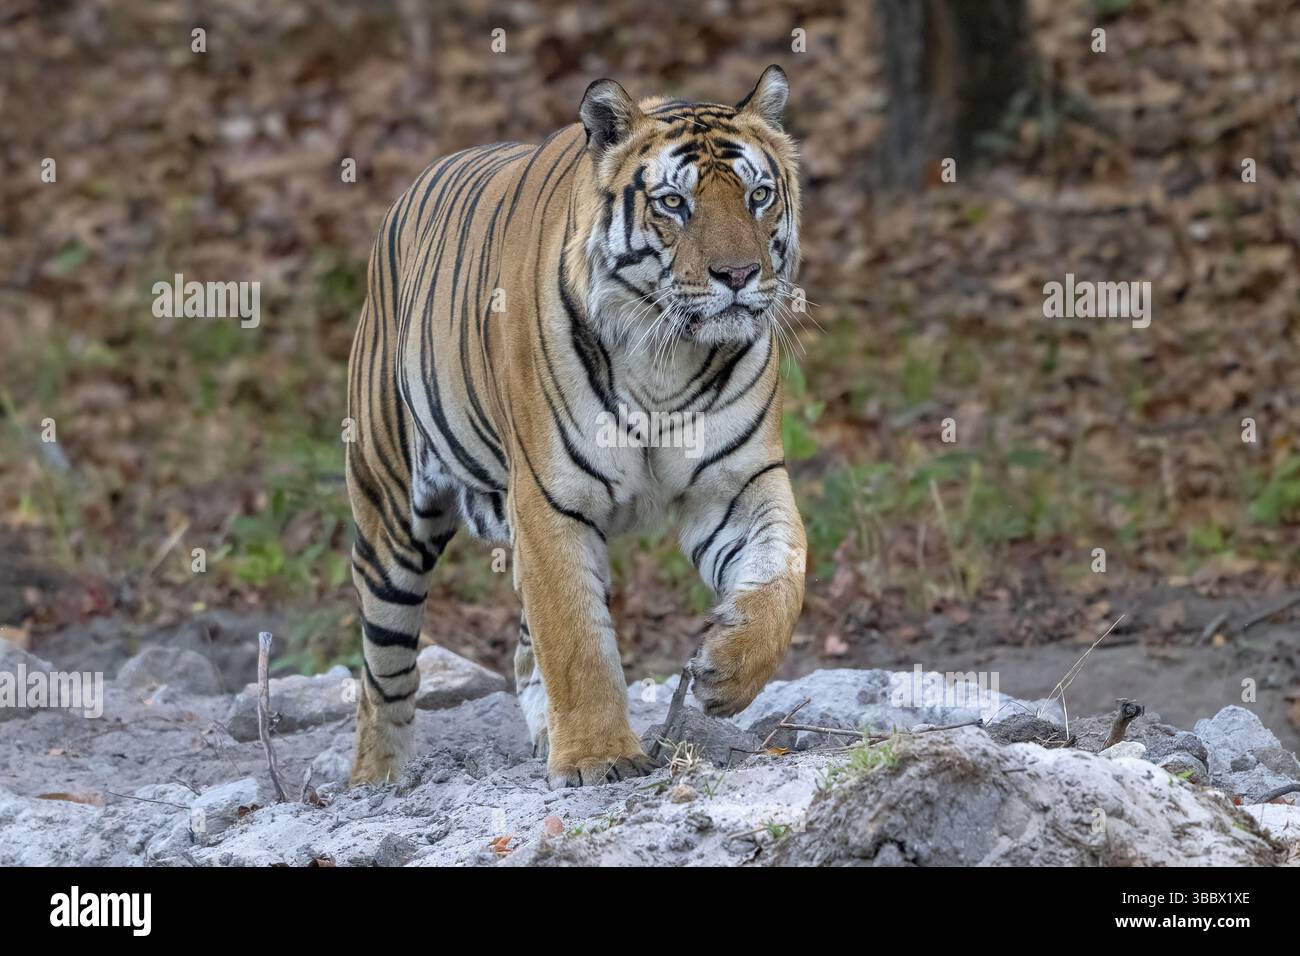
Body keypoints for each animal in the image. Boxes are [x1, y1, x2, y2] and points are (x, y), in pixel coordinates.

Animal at [346, 65, 807, 789]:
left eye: (759, 196)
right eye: (674, 204)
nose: (738, 276)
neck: (666, 356)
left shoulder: (737, 483)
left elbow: (783, 572)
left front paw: (726, 671)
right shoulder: (550, 501)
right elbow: (575, 639)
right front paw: (598, 757)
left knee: (518, 652)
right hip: (390, 516)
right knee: (383, 669)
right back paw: (377, 779)